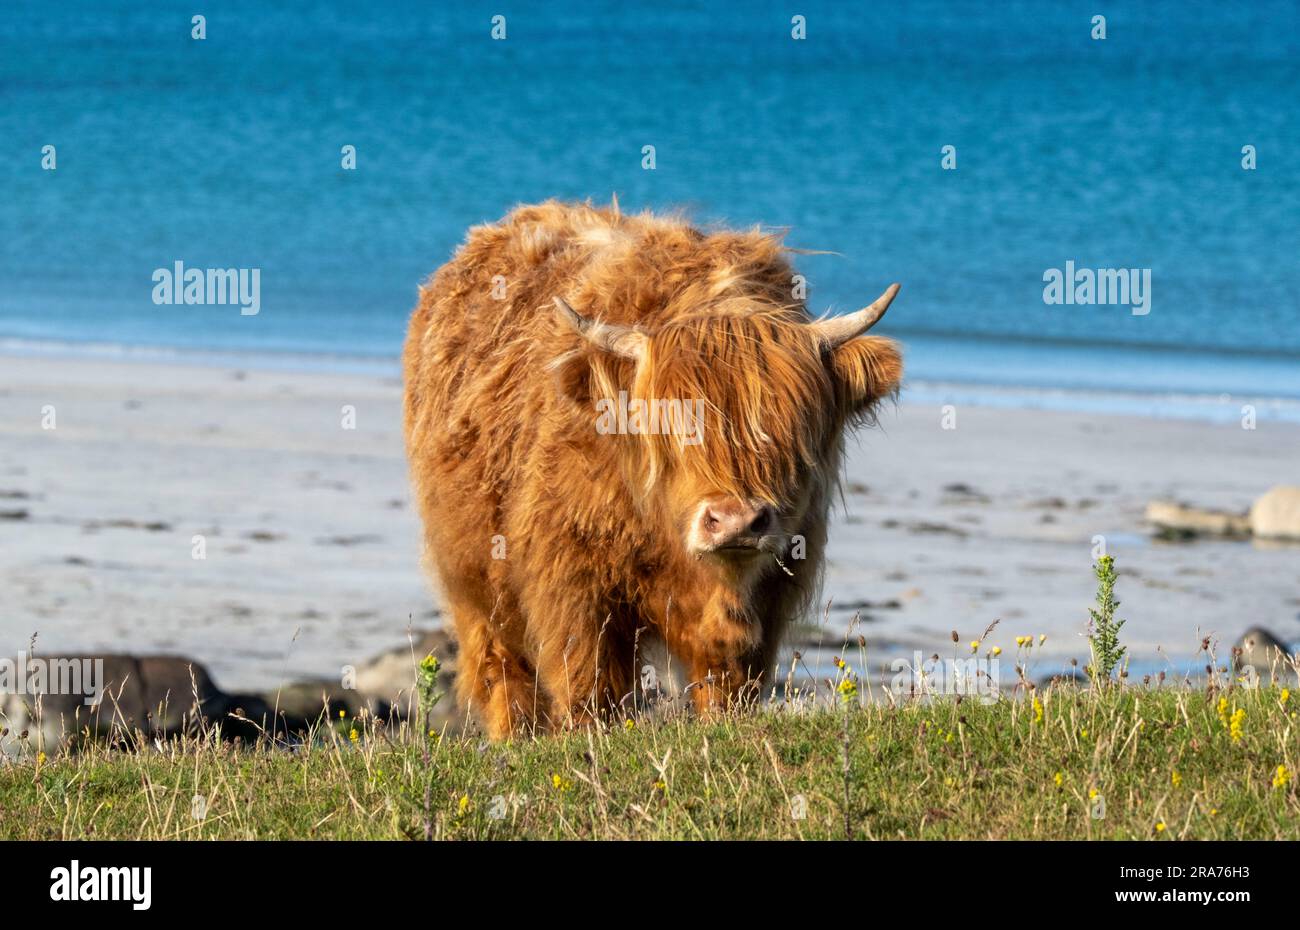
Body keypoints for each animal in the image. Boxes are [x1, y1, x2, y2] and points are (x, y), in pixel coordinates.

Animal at [403, 200, 902, 738]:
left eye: (789, 424)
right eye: (672, 429)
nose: (735, 522)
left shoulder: (771, 595)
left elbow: (730, 683)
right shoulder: (573, 587)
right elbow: (590, 684)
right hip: (474, 583)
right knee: (504, 675)